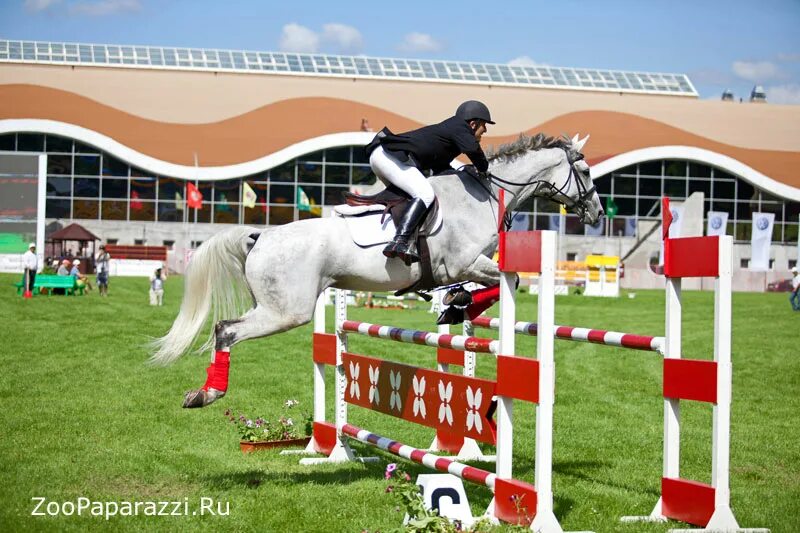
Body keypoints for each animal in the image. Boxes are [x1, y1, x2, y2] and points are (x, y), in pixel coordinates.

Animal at [150, 131, 604, 406]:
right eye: (583, 170)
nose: (598, 214)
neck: (486, 193)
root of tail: (260, 237)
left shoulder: (463, 267)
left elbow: (490, 285)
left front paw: (456, 304)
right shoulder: (464, 262)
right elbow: (508, 280)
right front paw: (461, 305)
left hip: (279, 306)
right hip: (286, 311)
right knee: (226, 330)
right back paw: (208, 394)